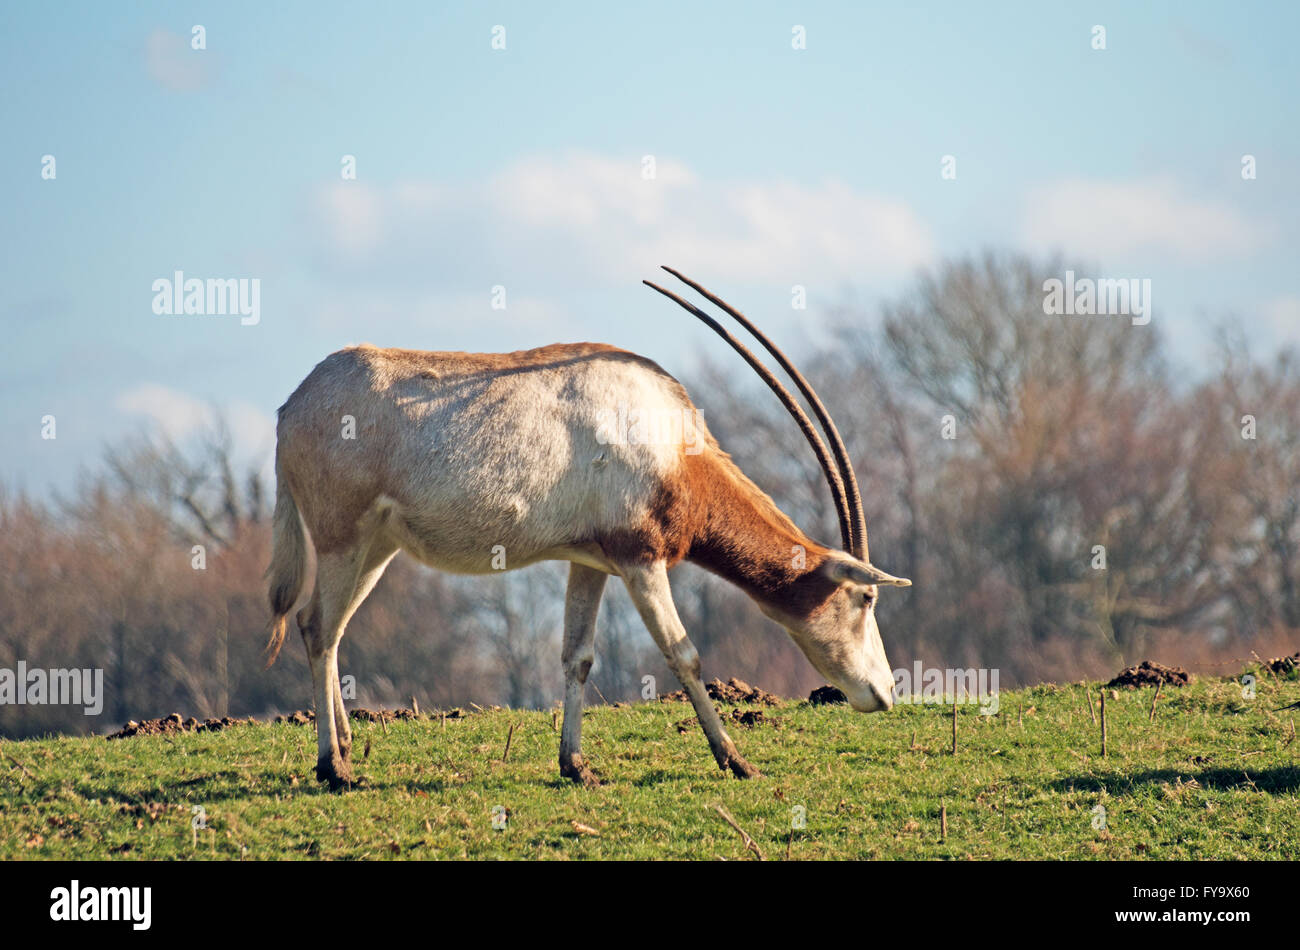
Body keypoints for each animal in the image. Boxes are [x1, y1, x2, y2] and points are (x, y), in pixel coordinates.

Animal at [265, 267, 911, 789]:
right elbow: (684, 654)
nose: (883, 694)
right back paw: (333, 767)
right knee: (318, 627)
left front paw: (576, 766)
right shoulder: (640, 559)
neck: (672, 447)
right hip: (343, 540)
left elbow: (577, 656)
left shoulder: (590, 562)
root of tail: (290, 408)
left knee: (325, 626)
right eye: (867, 598)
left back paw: (346, 747)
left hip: (377, 548)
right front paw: (737, 761)